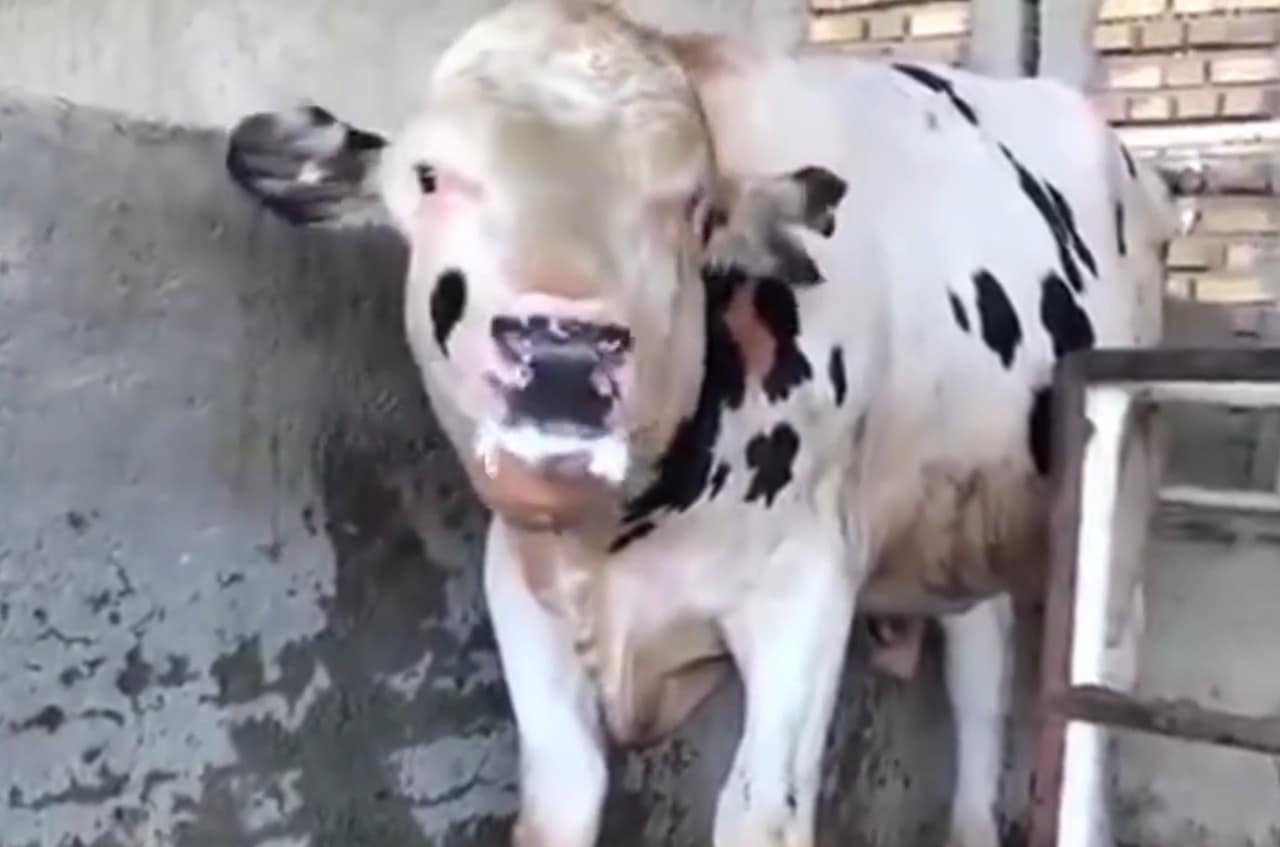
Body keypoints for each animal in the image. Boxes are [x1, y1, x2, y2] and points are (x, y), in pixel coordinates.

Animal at [223, 2, 1174, 845]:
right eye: (428, 177)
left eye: (691, 205)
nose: (564, 352)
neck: (616, 534)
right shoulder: (519, 585)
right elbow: (559, 802)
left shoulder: (806, 586)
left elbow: (759, 814)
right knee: (980, 668)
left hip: (1122, 482)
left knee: (1104, 670)